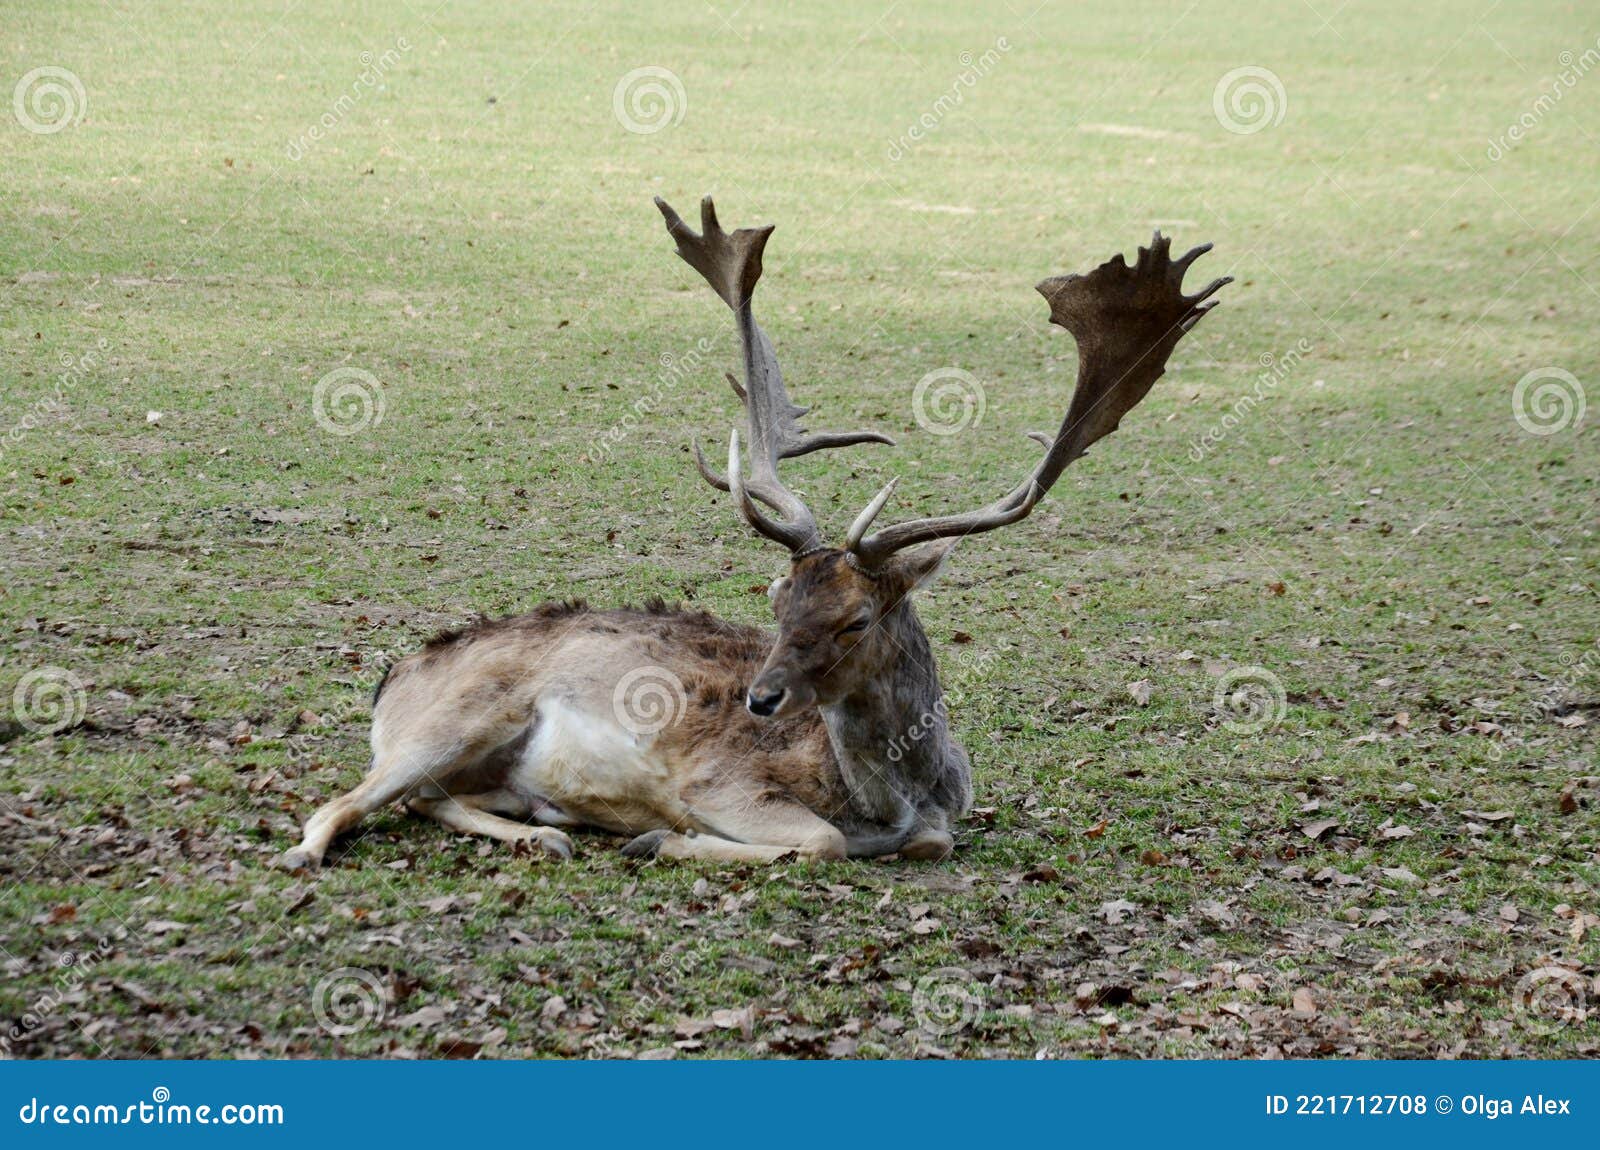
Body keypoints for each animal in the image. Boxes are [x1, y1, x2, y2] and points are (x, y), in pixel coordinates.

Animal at [278, 196, 1229, 870]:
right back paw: (305, 855)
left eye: (855, 619)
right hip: (452, 721)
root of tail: (396, 674)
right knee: (347, 801)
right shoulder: (721, 780)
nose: (761, 701)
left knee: (422, 800)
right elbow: (819, 841)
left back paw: (545, 830)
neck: (900, 793)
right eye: (774, 598)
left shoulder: (941, 817)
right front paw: (658, 836)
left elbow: (925, 842)